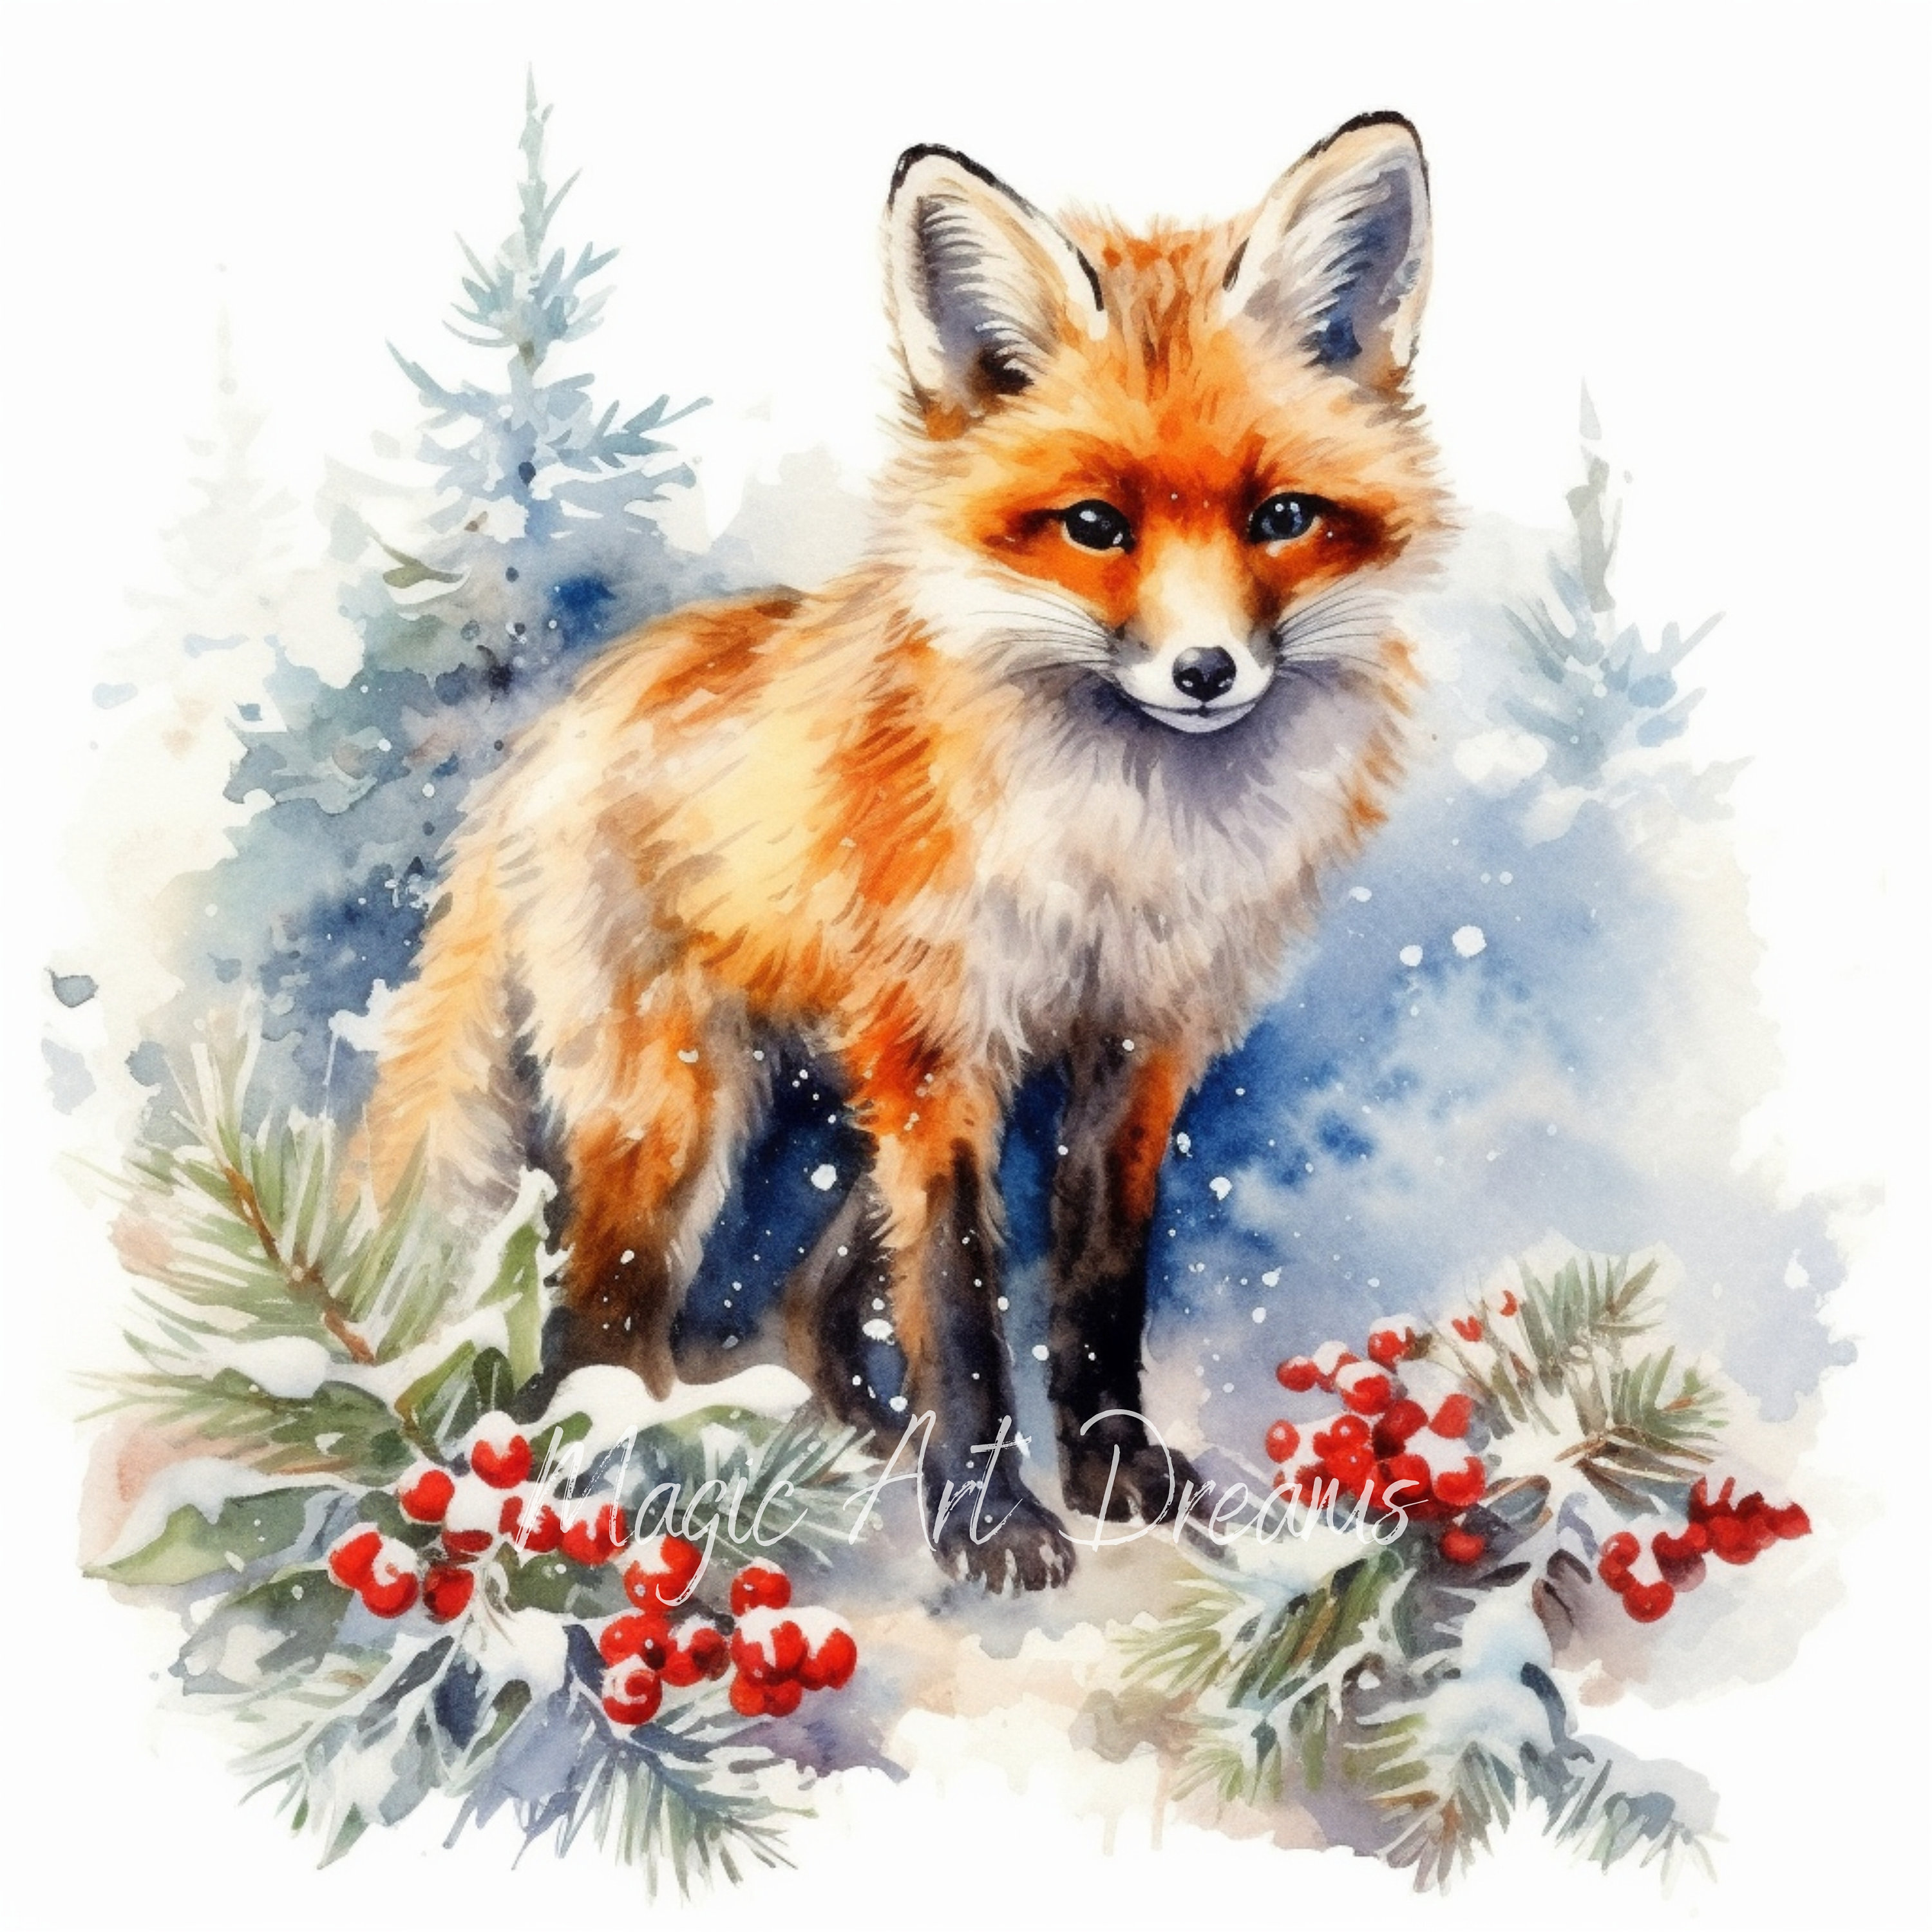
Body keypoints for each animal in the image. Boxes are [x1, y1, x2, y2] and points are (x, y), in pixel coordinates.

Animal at [360, 112, 1447, 1592]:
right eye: (1095, 526)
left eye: (1282, 517)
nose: (1207, 672)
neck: (1126, 846)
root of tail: (562, 722)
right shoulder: (946, 1059)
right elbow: (965, 1309)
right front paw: (991, 1525)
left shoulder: (1137, 1045)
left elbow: (1099, 1283)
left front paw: (1107, 1471)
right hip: (686, 1117)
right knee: (598, 1331)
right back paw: (639, 1495)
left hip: (839, 1104)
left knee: (803, 1301)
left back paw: (855, 1443)